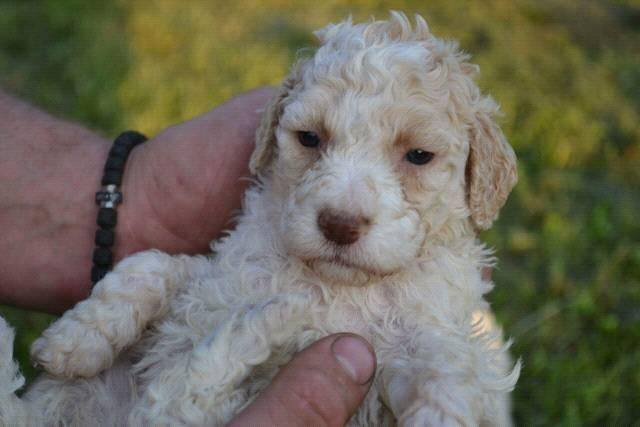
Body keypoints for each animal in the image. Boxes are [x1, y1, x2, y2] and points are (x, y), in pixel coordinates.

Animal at [0, 11, 520, 426]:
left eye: (418, 155)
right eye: (310, 138)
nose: (339, 224)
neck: (338, 288)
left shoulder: (408, 350)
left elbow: (446, 368)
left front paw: (444, 410)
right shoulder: (217, 282)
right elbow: (153, 266)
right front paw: (75, 339)